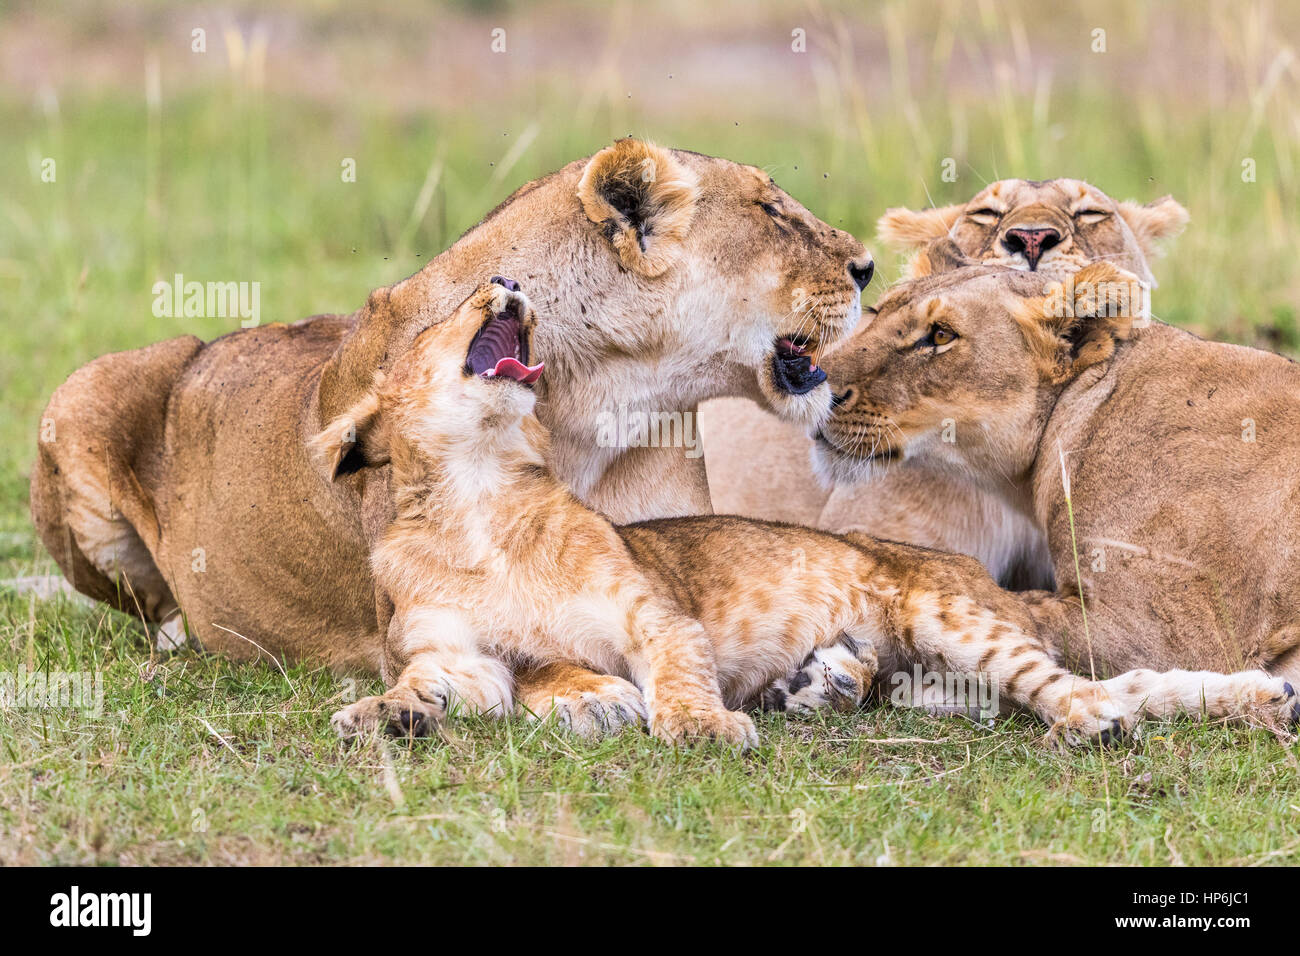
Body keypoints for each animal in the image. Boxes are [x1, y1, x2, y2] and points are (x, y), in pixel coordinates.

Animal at [29, 139, 873, 734]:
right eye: (770, 212)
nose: (868, 266)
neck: (604, 399)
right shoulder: (409, 612)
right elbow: (513, 647)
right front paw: (586, 693)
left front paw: (819, 674)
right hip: (79, 396)